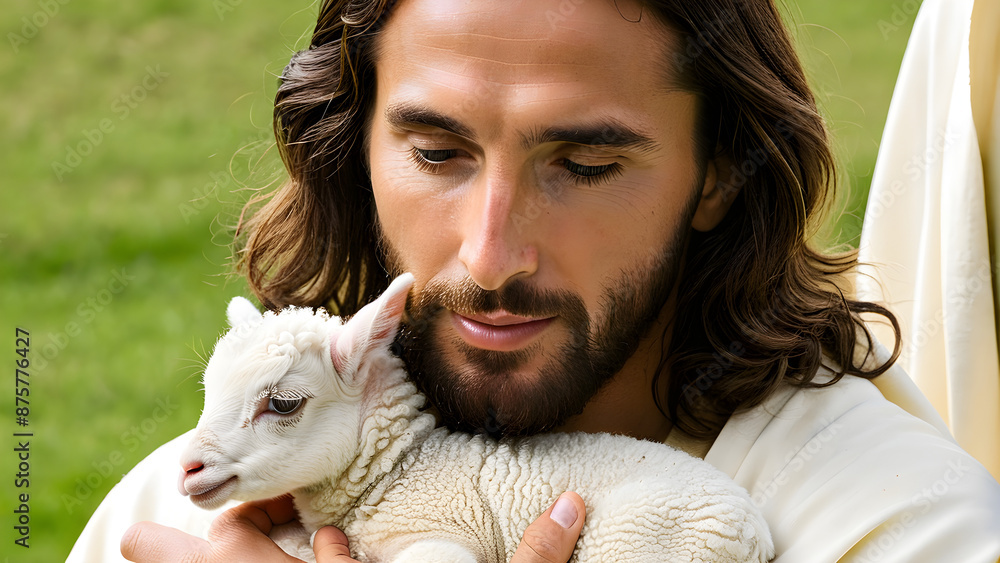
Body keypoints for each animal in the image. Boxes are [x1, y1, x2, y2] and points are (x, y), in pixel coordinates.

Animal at [178, 273, 774, 563]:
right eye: (208, 391)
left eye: (283, 403)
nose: (187, 468)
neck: (398, 472)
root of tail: (758, 538)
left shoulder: (439, 541)